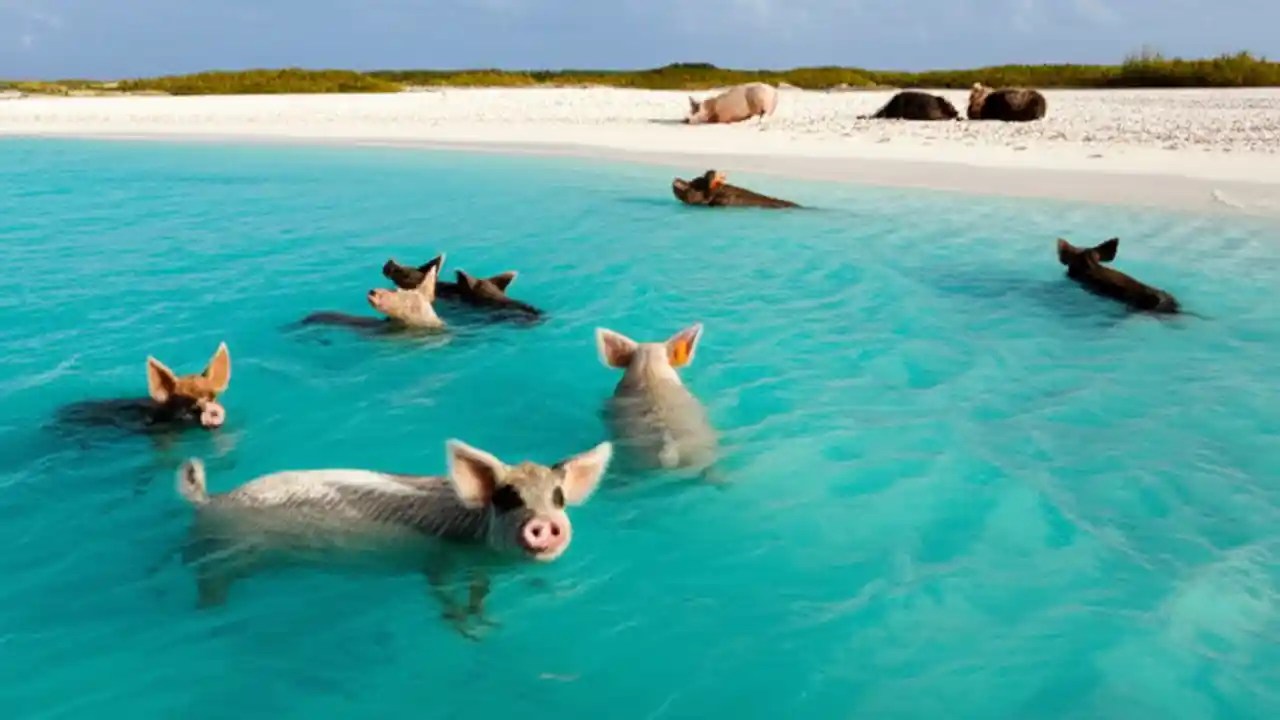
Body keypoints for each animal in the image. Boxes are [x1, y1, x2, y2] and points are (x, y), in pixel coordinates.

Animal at [175, 438, 613, 638]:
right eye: (507, 498)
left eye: (558, 497)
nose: (545, 522)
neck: (474, 532)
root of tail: (209, 498)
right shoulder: (438, 561)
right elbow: (441, 590)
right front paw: (468, 630)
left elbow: (479, 593)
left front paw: (487, 622)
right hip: (229, 549)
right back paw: (209, 610)